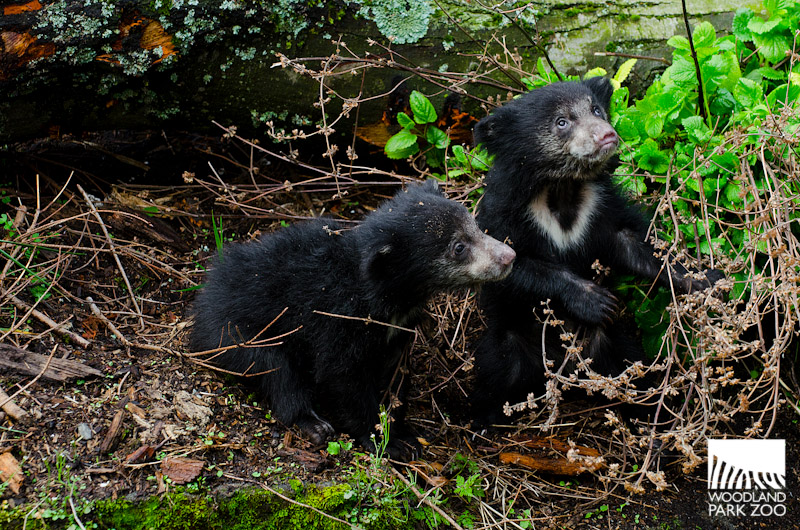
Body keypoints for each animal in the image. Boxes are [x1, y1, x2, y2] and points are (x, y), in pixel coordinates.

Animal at [190, 180, 516, 458]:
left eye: (476, 226)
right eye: (458, 247)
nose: (509, 256)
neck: (392, 297)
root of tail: (203, 300)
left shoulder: (395, 330)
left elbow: (394, 373)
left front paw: (398, 427)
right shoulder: (338, 316)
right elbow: (341, 375)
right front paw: (388, 442)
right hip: (236, 333)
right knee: (277, 373)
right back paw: (313, 424)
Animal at [470, 77, 722, 427]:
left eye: (597, 110)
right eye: (561, 122)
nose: (607, 134)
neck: (561, 185)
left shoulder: (601, 207)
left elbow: (635, 246)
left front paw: (705, 279)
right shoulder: (502, 213)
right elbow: (511, 267)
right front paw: (595, 300)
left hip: (611, 343)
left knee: (633, 374)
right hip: (509, 340)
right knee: (497, 375)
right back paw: (480, 419)